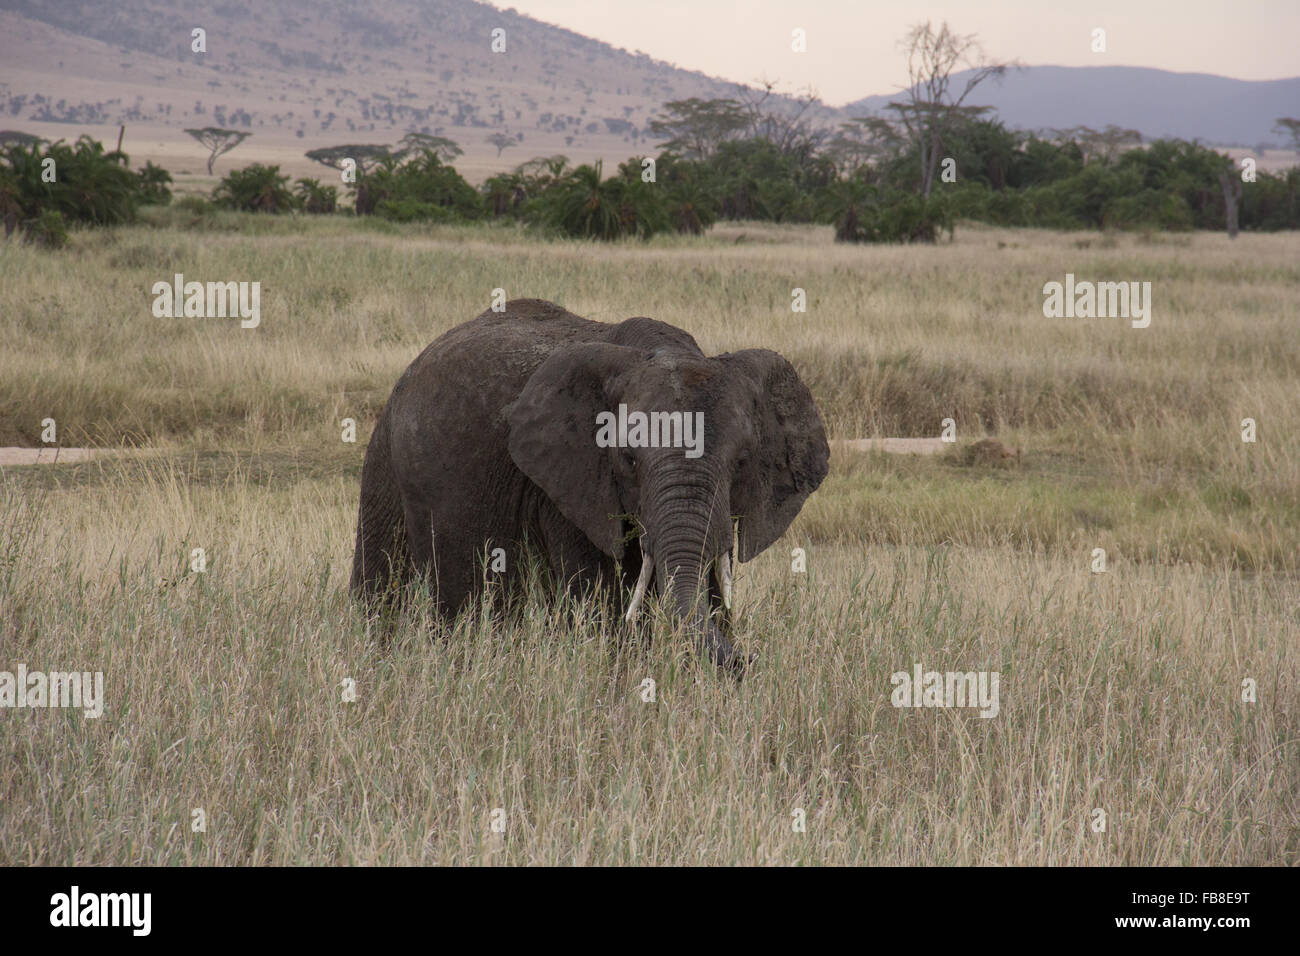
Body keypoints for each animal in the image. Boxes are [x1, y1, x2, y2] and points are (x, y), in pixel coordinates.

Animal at [350, 298, 829, 673]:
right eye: (629, 459)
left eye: (742, 462)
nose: (746, 658)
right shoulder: (564, 483)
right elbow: (600, 592)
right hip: (385, 463)